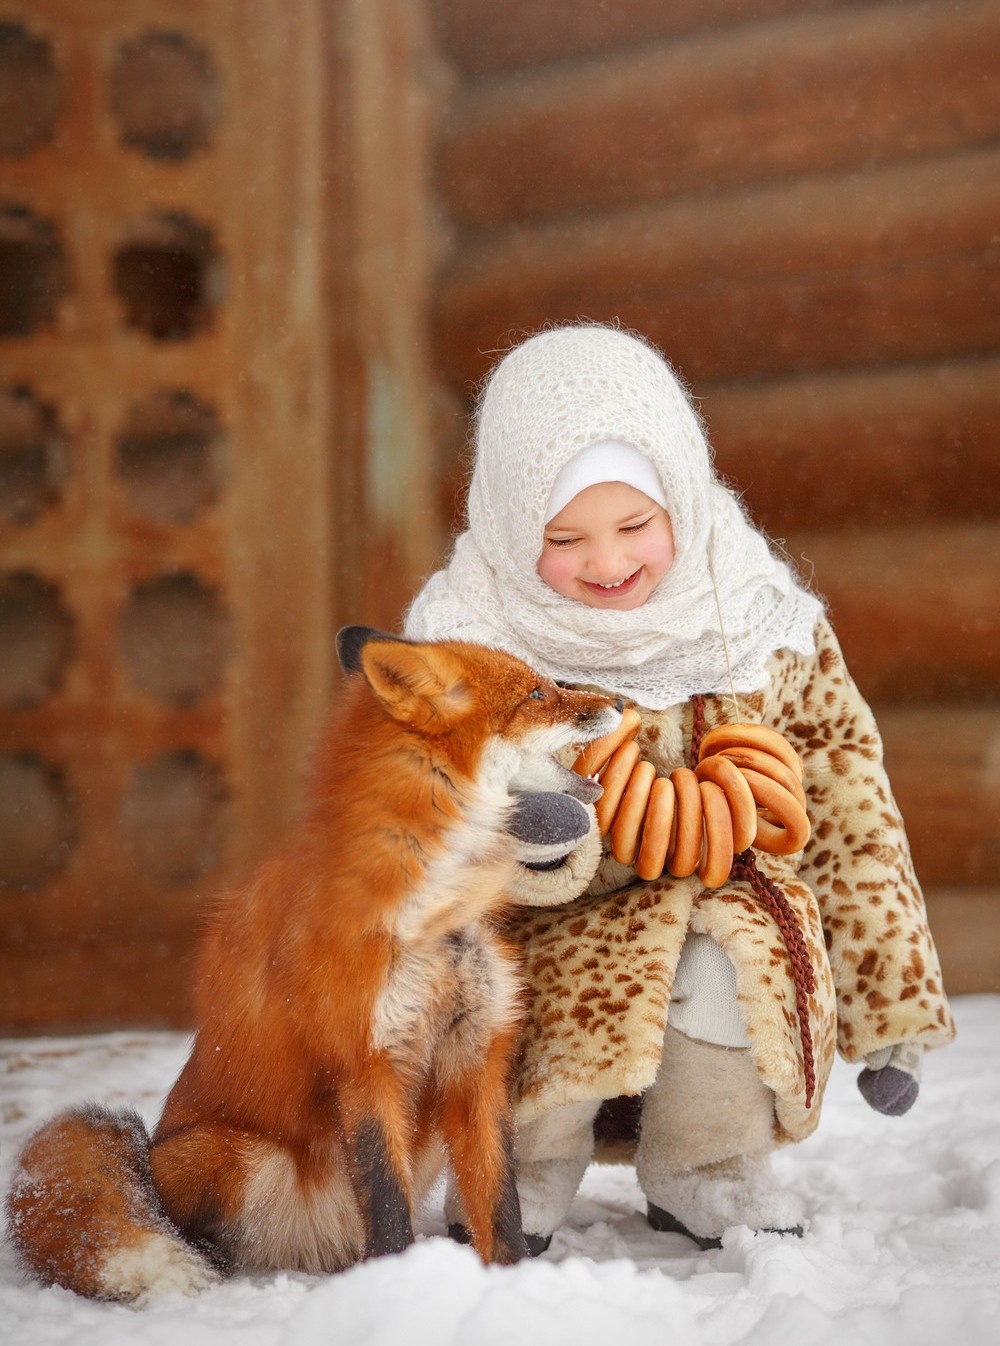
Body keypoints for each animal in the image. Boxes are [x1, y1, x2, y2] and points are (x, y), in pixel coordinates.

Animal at [5, 628, 620, 1305]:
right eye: (538, 693)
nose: (620, 699)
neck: (435, 911)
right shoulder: (365, 1063)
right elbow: (387, 1207)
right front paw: (399, 1286)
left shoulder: (474, 1058)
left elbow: (500, 1206)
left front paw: (511, 1289)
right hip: (232, 1153)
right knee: (185, 1233)